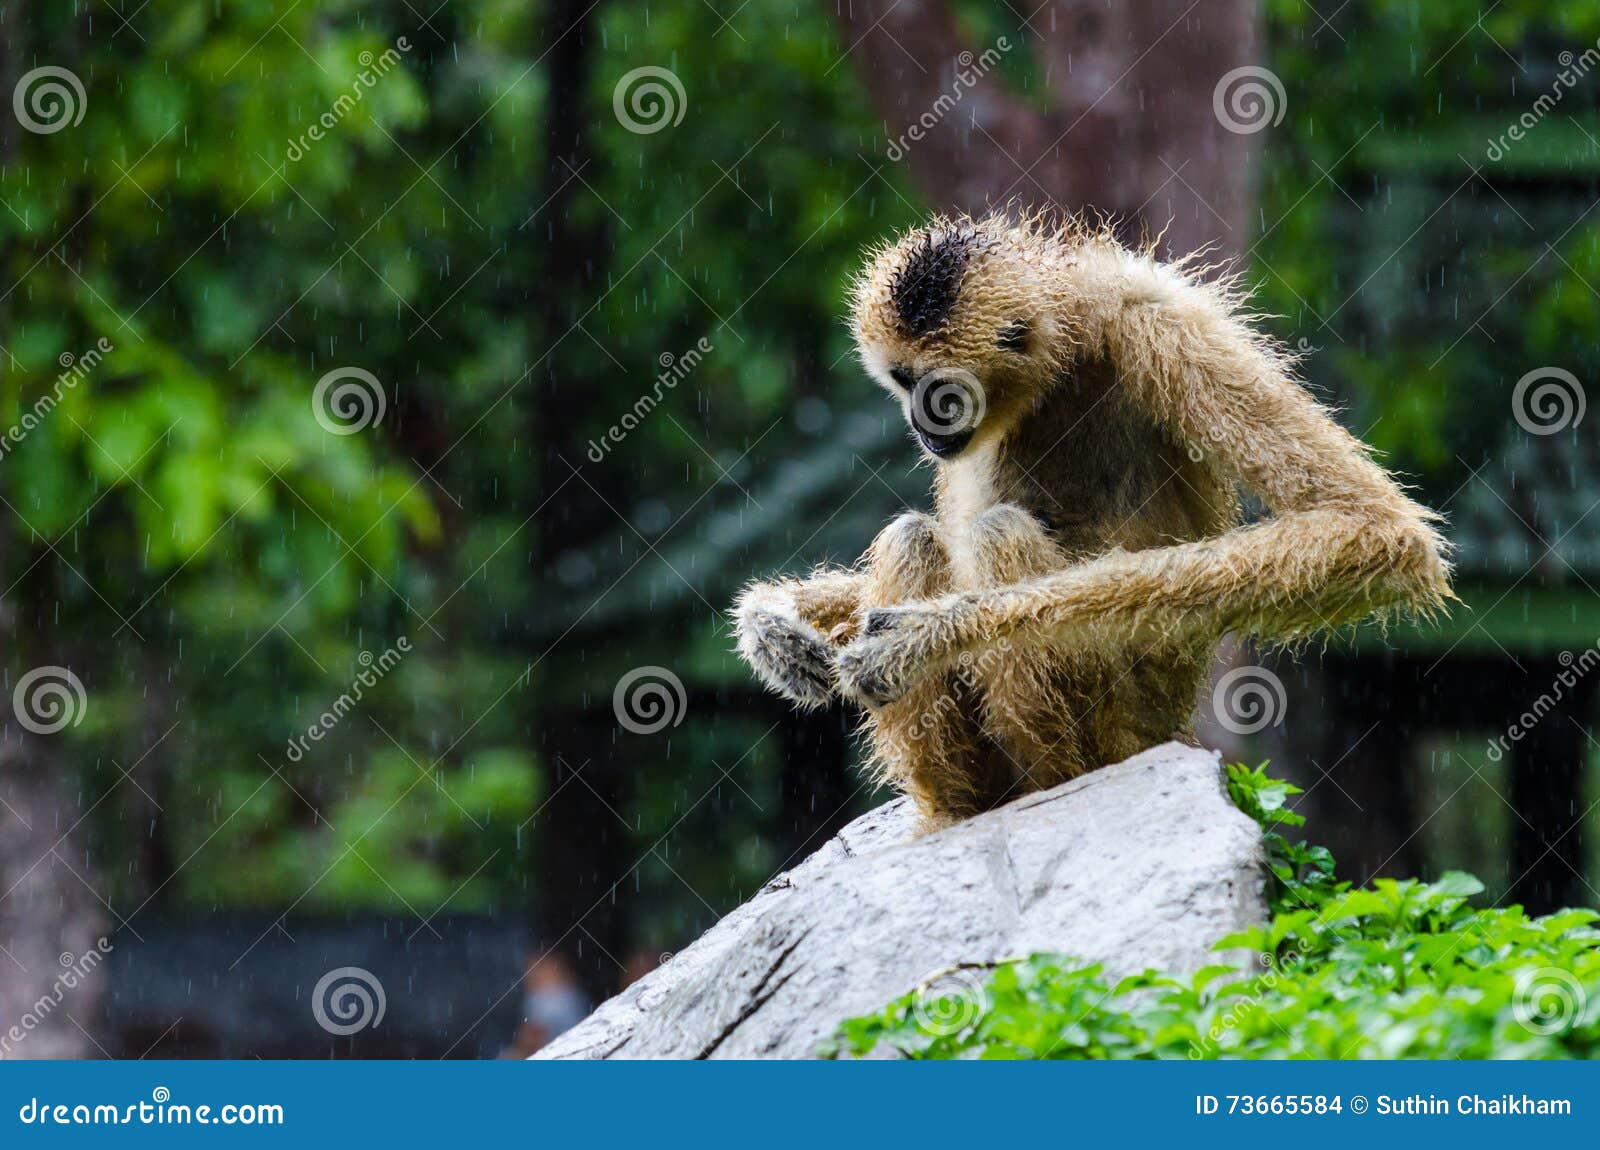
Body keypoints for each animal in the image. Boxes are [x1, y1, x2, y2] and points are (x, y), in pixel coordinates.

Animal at [733, 212, 1452, 828]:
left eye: (939, 393)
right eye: (902, 382)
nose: (918, 420)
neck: (1062, 355)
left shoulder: (1156, 315)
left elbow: (1375, 531)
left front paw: (946, 630)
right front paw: (774, 623)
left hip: (1124, 726)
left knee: (997, 533)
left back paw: (1053, 784)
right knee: (915, 537)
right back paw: (961, 807)